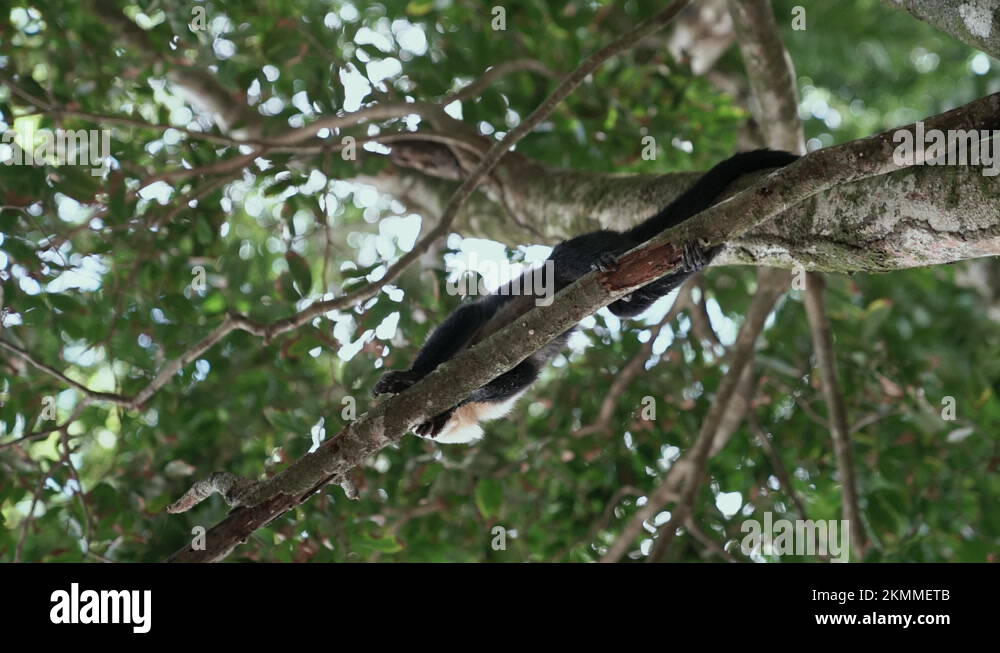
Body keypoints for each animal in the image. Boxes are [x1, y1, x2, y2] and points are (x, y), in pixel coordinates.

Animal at [372, 149, 799, 443]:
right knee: (625, 306)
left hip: (581, 243)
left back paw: (603, 262)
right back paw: (697, 258)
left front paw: (409, 379)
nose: (424, 432)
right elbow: (515, 369)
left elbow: (473, 321)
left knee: (577, 266)